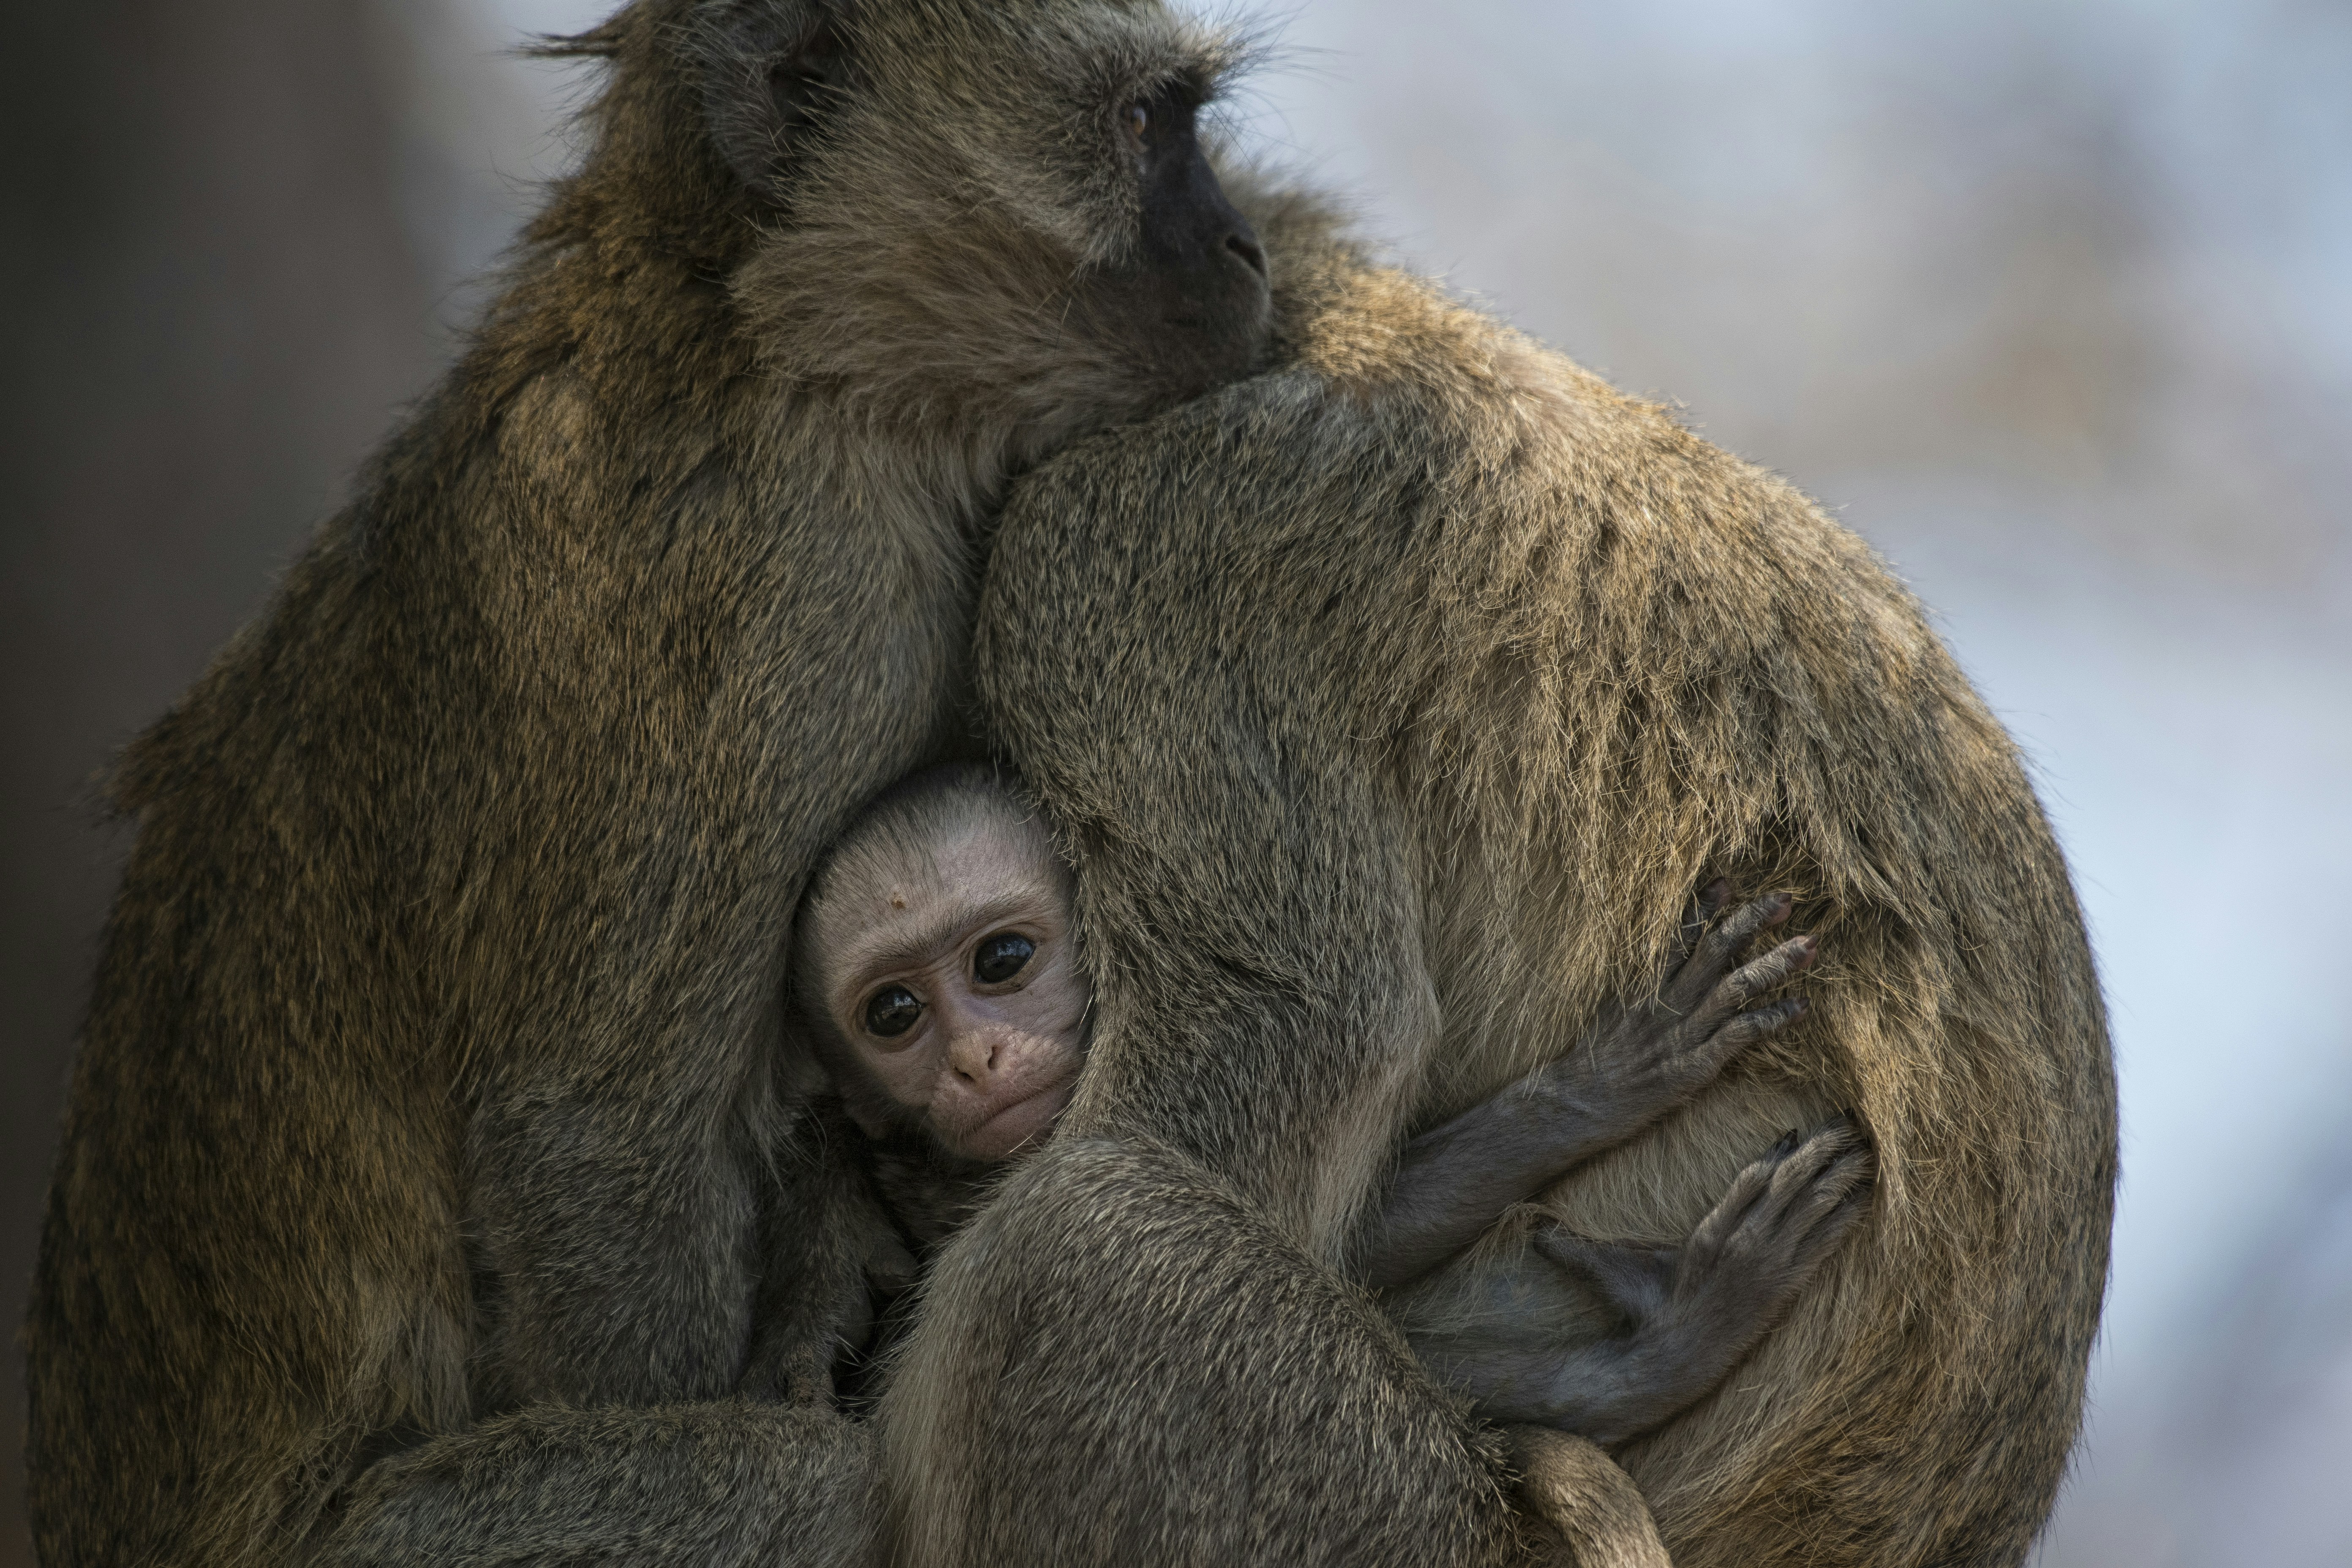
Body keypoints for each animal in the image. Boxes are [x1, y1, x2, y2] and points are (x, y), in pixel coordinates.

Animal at [24, 2, 1279, 1563]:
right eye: (1150, 123)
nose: (1245, 249)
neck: (751, 331)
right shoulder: (790, 604)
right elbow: (591, 1142)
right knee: (805, 1488)